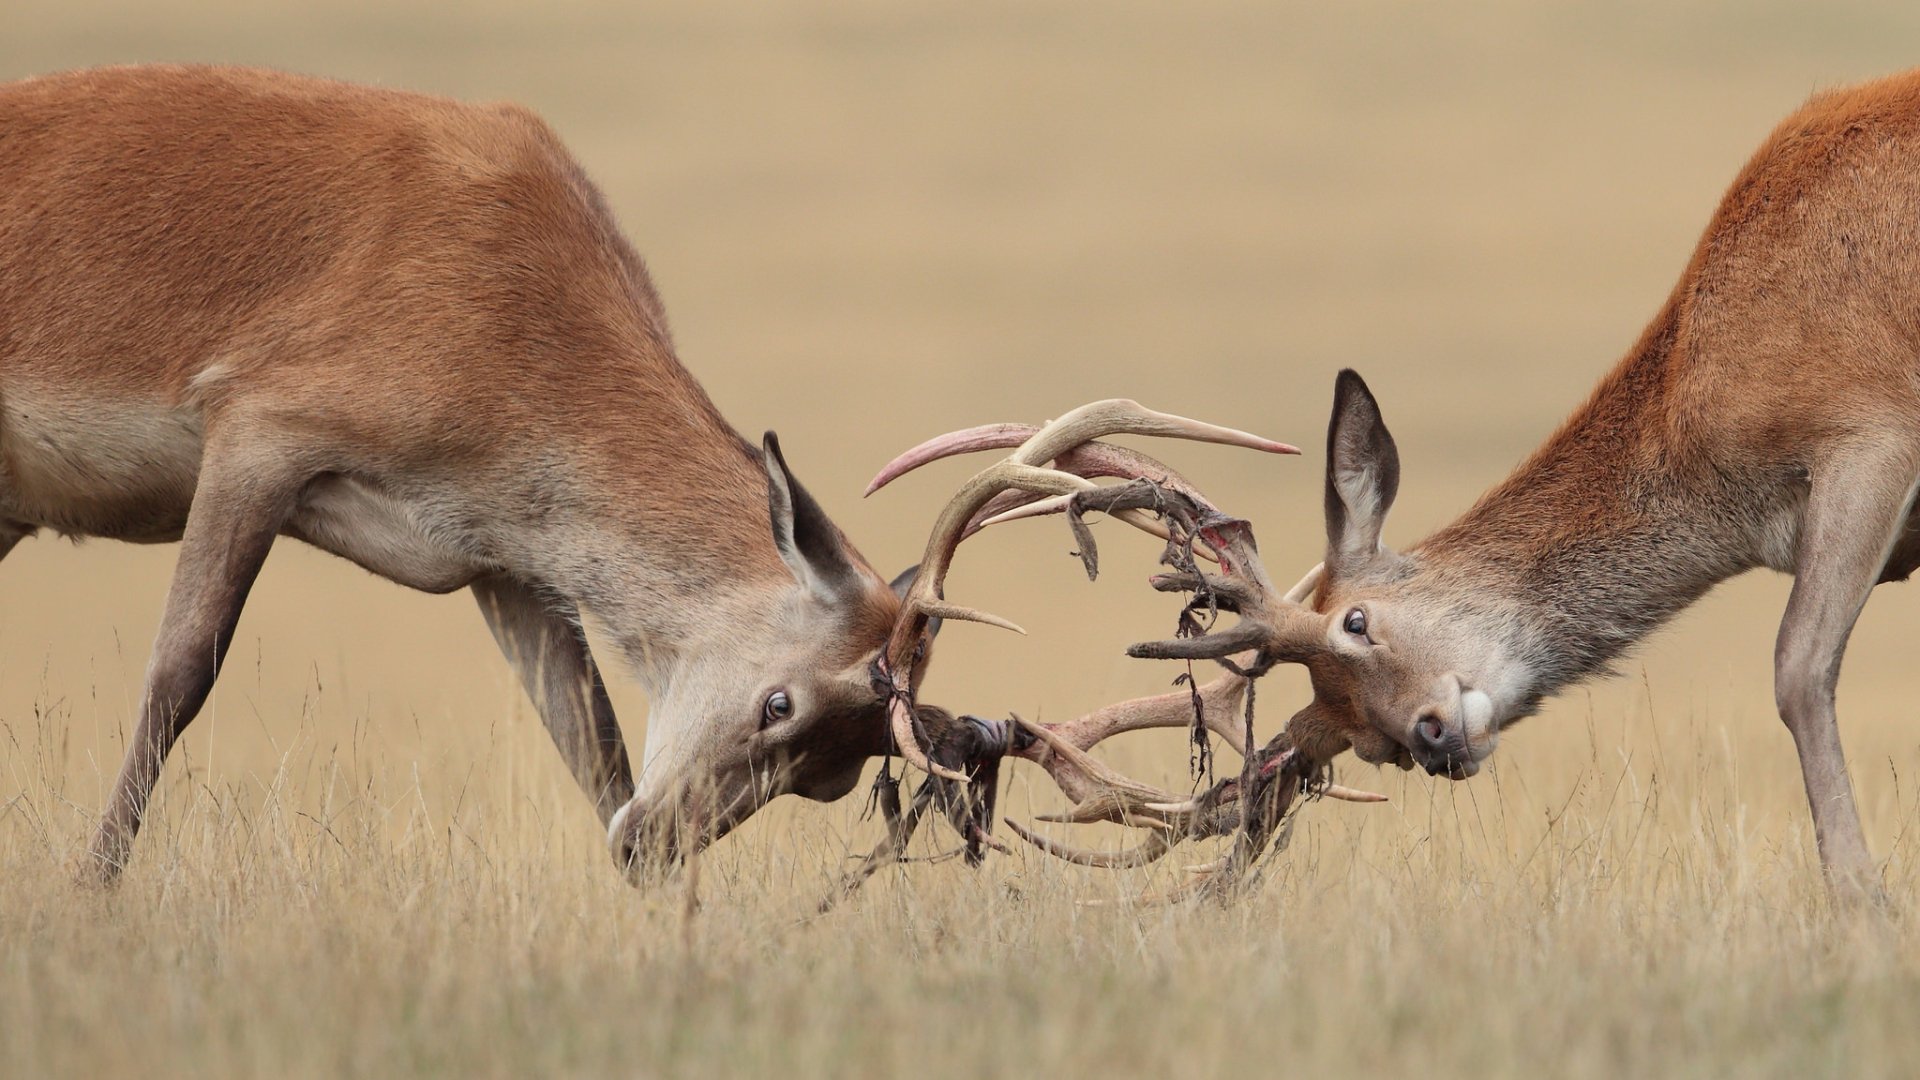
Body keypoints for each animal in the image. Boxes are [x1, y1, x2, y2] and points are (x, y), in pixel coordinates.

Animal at [2, 63, 1297, 882]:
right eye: (782, 703)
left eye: (835, 781)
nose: (653, 848)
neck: (517, 330)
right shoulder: (258, 427)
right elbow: (179, 674)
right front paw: (91, 890)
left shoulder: (500, 562)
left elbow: (589, 739)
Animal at [880, 70, 1920, 903]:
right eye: (1370, 745)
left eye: (1357, 621)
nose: (1433, 738)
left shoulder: (1868, 432)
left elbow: (1797, 670)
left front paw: (1862, 899)